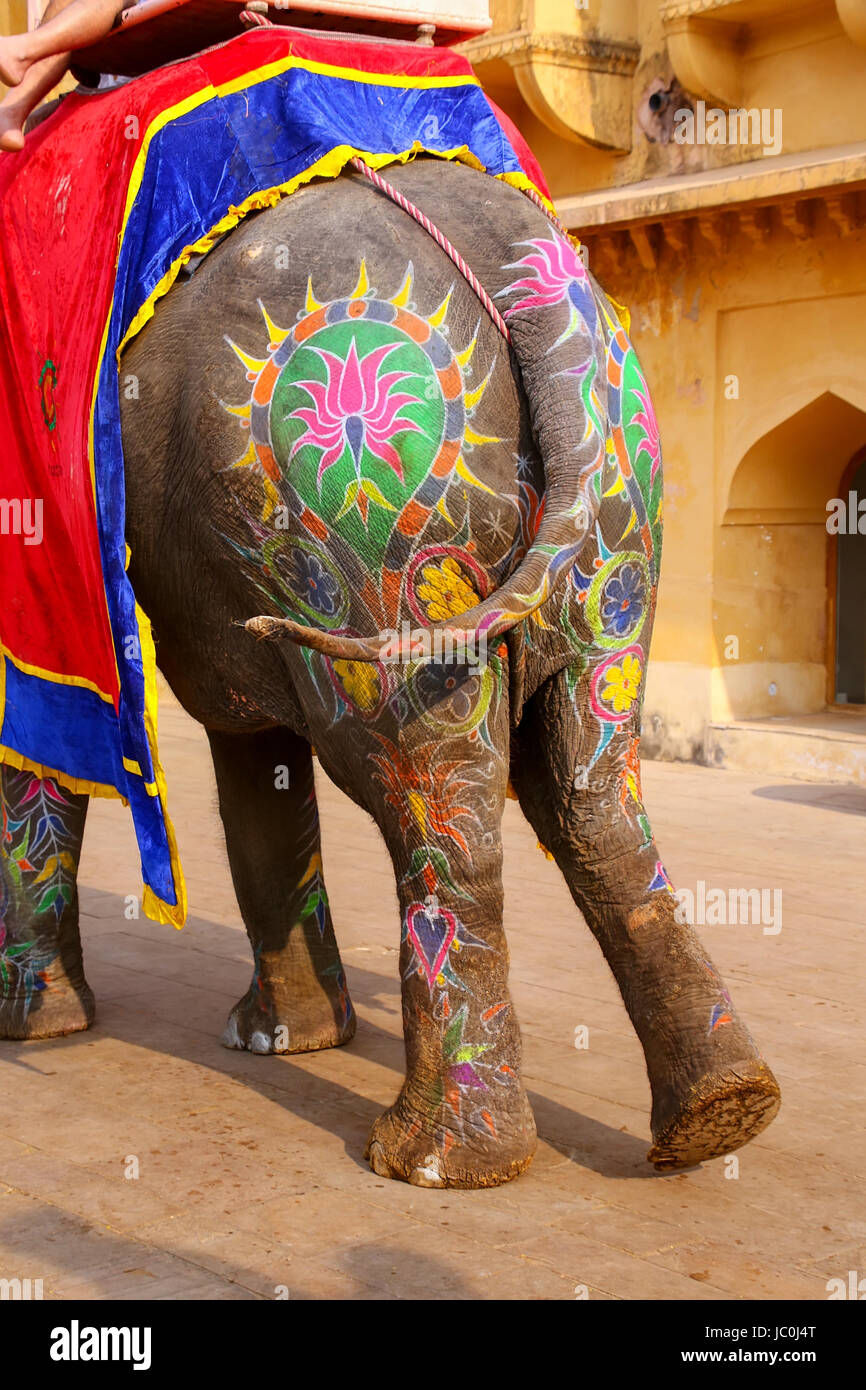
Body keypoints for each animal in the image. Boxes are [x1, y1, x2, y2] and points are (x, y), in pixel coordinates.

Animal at [0, 158, 780, 1189]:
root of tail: (533, 277)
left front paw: (37, 1032)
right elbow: (255, 755)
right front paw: (285, 1042)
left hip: (380, 543)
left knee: (430, 794)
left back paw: (431, 1160)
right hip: (611, 516)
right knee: (591, 785)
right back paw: (721, 1115)